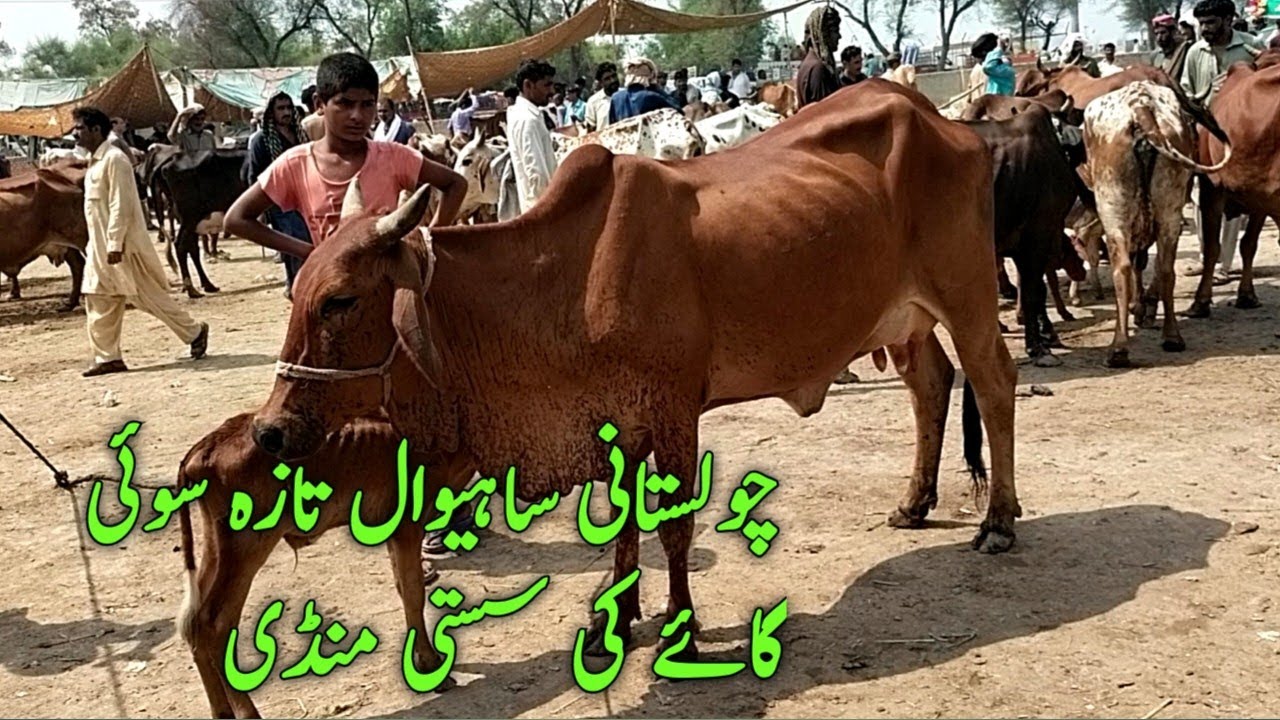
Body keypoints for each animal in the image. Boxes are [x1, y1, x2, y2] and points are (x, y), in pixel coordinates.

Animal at [159, 149, 248, 298]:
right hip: (190, 217)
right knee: (181, 245)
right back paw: (191, 289)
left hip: (194, 222)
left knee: (192, 248)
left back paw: (207, 285)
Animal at [176, 413, 475, 718]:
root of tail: (203, 449)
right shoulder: (408, 525)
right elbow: (414, 594)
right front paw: (431, 666)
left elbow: (403, 588)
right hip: (247, 547)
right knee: (215, 624)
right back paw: (248, 711)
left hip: (218, 547)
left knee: (192, 622)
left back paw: (221, 710)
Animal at [249, 83, 1021, 685]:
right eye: (300, 292)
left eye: (339, 300)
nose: (270, 429)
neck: (565, 280)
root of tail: (951, 123)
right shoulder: (616, 420)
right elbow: (622, 523)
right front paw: (615, 616)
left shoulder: (676, 410)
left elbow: (673, 525)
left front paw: (680, 626)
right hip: (904, 317)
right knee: (931, 384)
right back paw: (915, 503)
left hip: (968, 294)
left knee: (993, 382)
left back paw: (998, 522)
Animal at [1082, 81, 1230, 367]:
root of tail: (1141, 108)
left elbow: (1138, 263)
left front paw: (1139, 307)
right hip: (1167, 207)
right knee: (1164, 269)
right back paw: (1170, 337)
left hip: (1114, 208)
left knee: (1125, 268)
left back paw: (1120, 347)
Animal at [1188, 56, 1280, 317]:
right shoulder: (1259, 197)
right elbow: (1248, 244)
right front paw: (1247, 295)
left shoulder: (1211, 190)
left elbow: (1213, 248)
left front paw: (1200, 302)